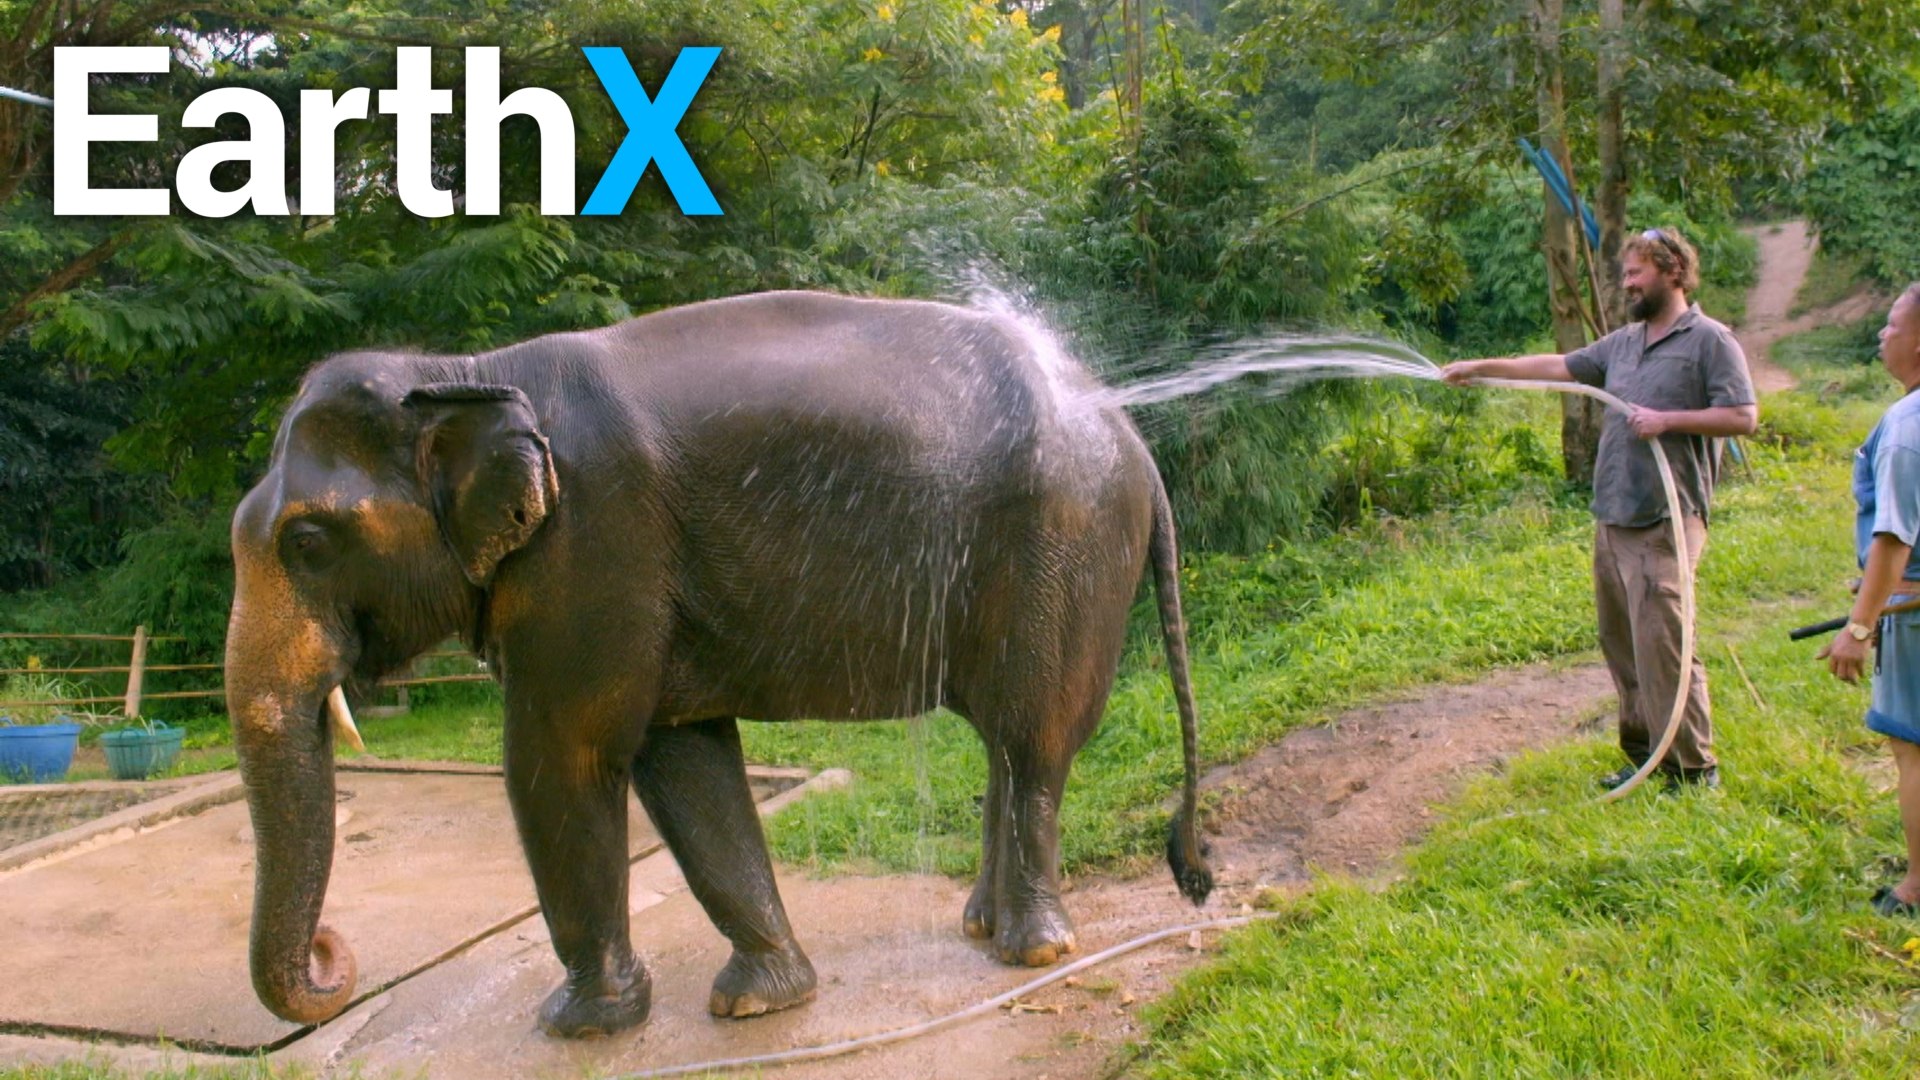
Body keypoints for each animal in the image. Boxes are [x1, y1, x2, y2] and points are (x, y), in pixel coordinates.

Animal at [225, 289, 1214, 1039]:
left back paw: (1034, 949)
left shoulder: (593, 546)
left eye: (308, 543)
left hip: (1064, 545)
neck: (464, 372)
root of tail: (1130, 432)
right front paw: (759, 1004)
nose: (334, 957)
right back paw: (982, 926)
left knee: (1035, 736)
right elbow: (682, 755)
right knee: (1004, 740)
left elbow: (566, 756)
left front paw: (578, 1026)